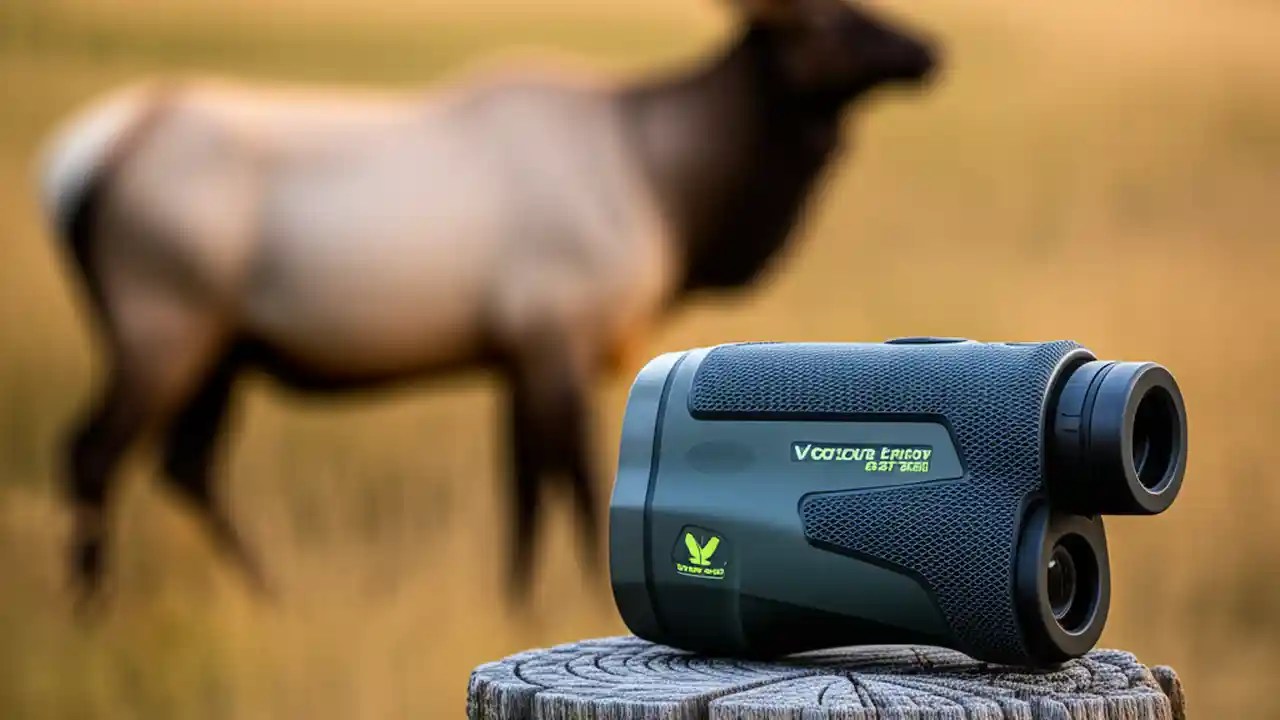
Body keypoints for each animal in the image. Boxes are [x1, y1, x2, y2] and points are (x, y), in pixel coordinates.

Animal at [39, 0, 937, 606]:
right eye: (823, 18)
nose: (926, 49)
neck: (671, 189)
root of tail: (77, 168)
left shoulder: (513, 350)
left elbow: (522, 493)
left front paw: (516, 601)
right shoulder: (557, 334)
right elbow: (575, 483)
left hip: (223, 345)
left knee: (185, 465)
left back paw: (267, 591)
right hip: (164, 321)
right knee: (94, 453)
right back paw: (95, 608)